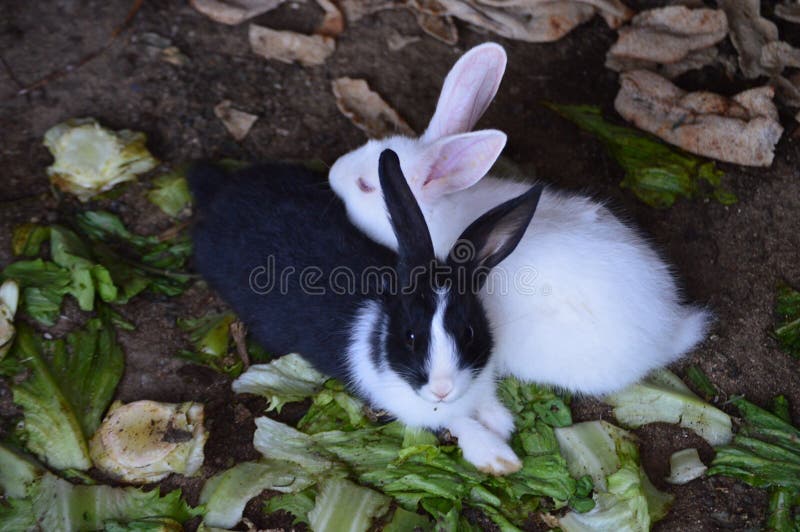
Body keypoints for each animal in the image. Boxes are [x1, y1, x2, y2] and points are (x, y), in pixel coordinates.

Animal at [188, 149, 544, 475]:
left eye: (468, 332)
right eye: (410, 336)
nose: (442, 389)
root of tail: (222, 192)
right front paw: (499, 457)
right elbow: (459, 423)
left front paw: (501, 424)